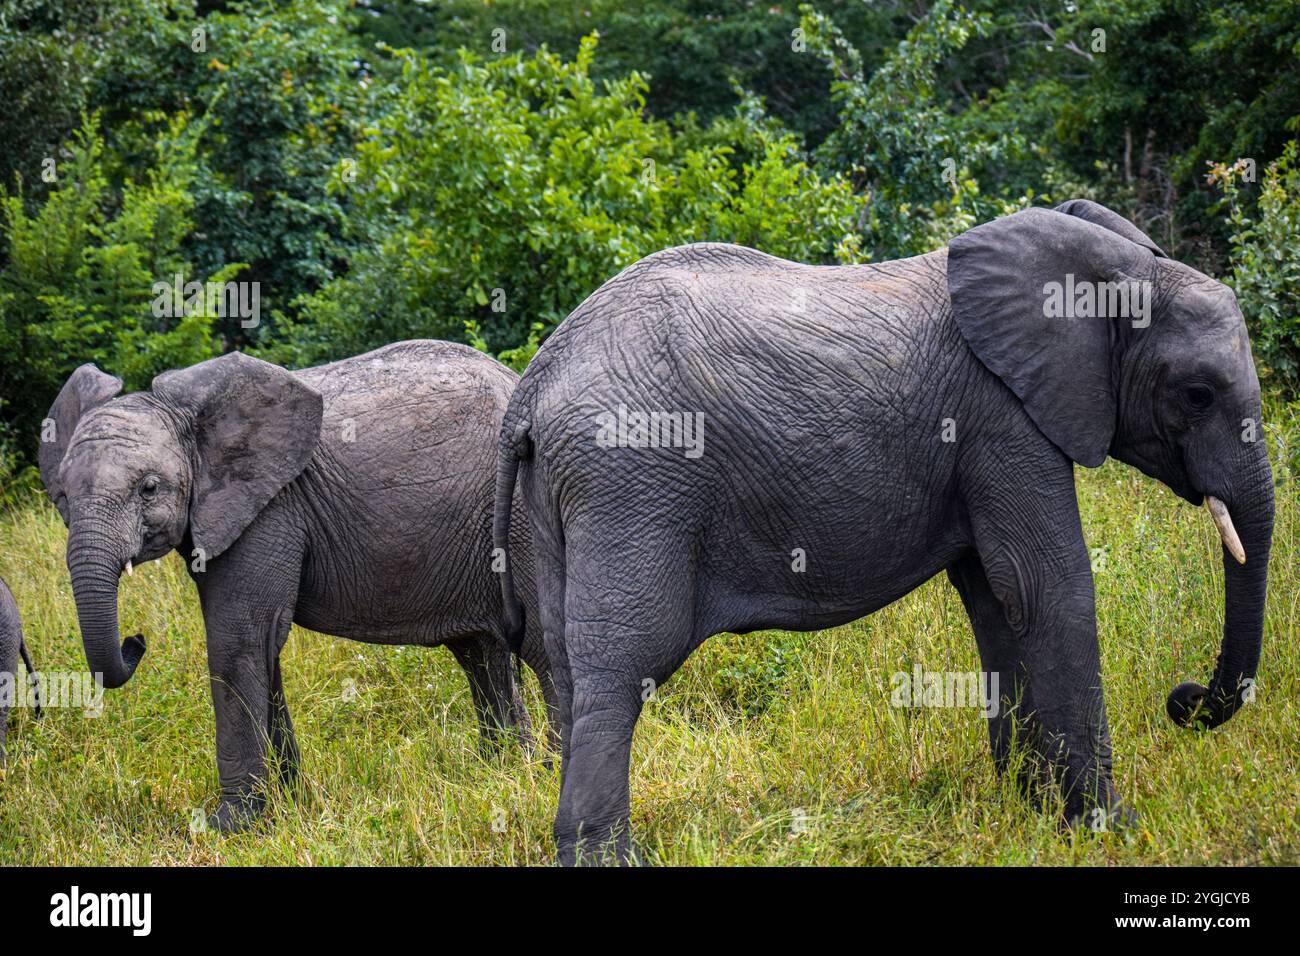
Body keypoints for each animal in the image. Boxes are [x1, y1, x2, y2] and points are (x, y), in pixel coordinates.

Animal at [40, 340, 554, 830]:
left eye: (148, 488)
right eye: (62, 494)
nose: (136, 639)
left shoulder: (269, 508)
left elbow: (237, 642)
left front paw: (230, 826)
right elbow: (261, 649)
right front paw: (291, 803)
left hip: (524, 513)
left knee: (541, 643)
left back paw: (546, 775)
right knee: (482, 653)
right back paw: (508, 770)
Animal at [494, 200, 1275, 864]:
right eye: (1198, 394)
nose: (1184, 699)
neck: (1111, 267)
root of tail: (534, 385)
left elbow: (999, 602)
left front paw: (1027, 814)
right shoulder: (1003, 418)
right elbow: (1047, 589)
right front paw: (1111, 829)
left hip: (563, 496)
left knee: (568, 664)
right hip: (632, 478)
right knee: (623, 664)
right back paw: (608, 859)